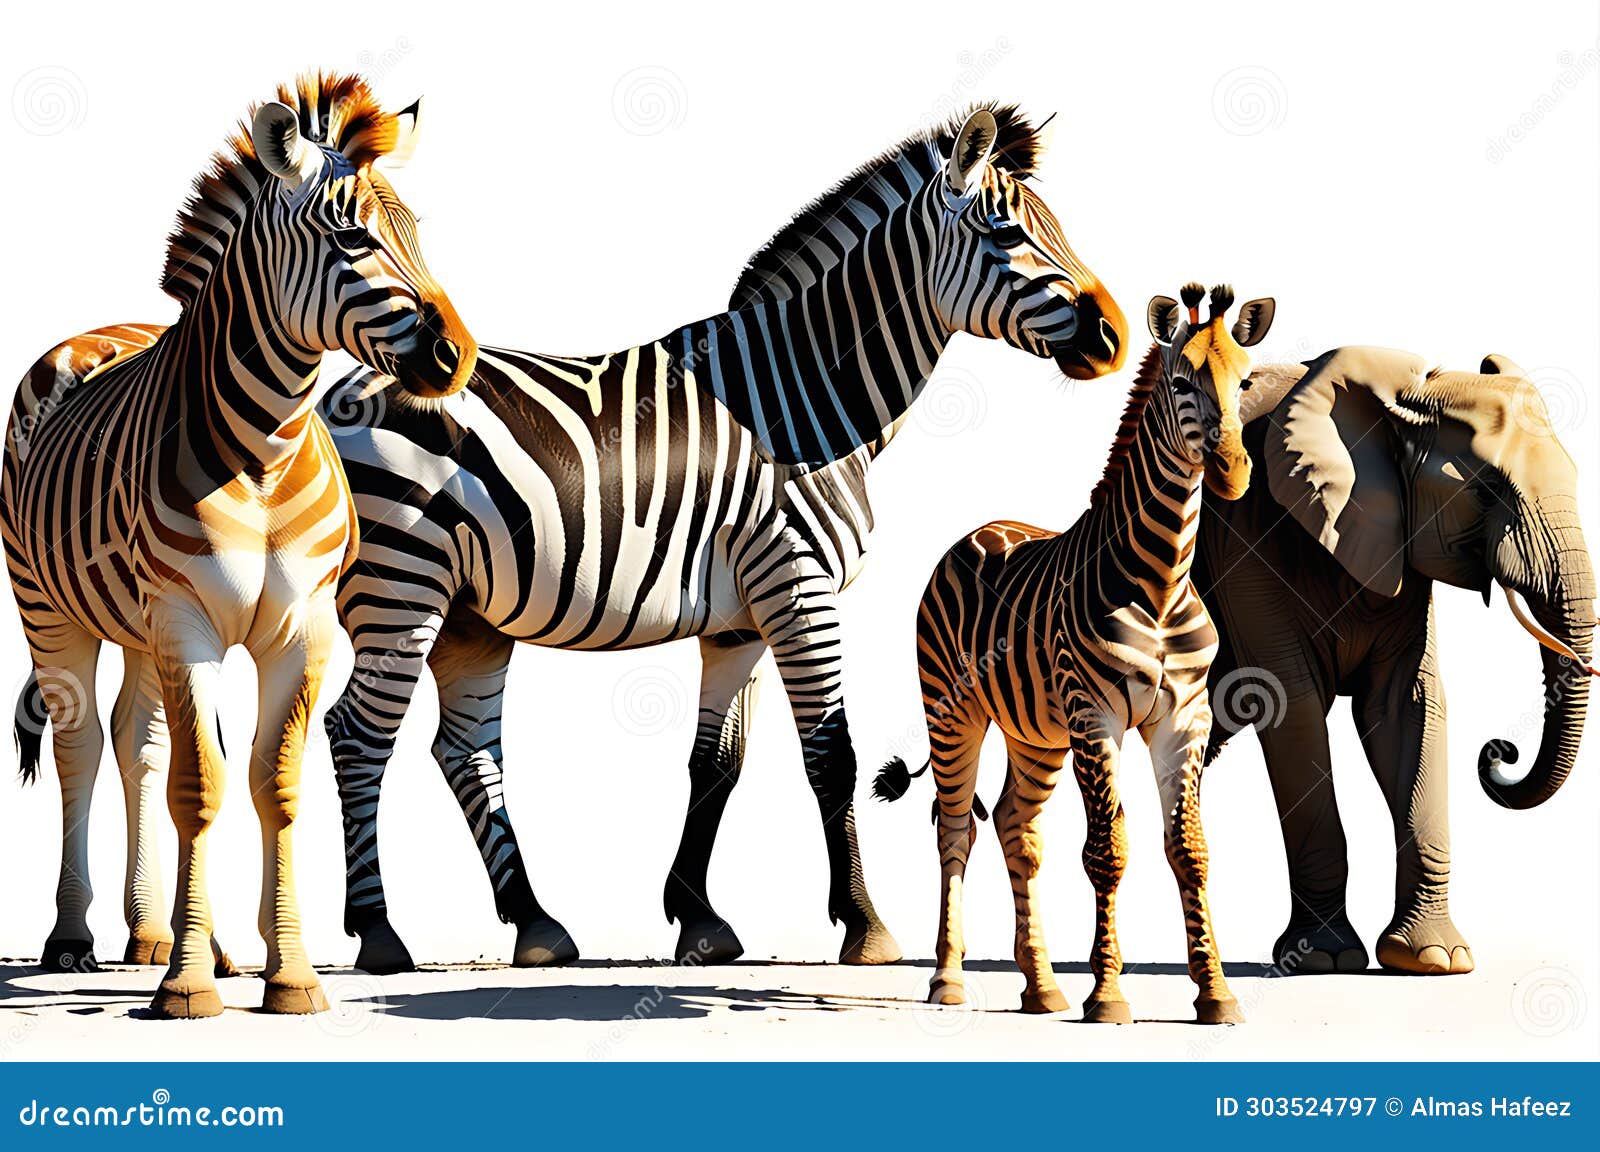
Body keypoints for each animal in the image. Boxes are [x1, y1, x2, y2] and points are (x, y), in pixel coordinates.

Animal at [2, 74, 475, 1016]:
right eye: (353, 235)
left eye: (416, 232)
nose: (457, 356)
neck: (265, 450)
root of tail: (96, 334)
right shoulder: (186, 622)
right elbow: (203, 785)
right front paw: (188, 988)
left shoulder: (302, 630)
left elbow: (270, 782)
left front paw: (282, 973)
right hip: (51, 610)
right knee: (82, 748)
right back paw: (75, 937)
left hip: (138, 625)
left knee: (137, 742)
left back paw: (160, 932)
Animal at [316, 104, 1129, 973]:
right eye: (1008, 231)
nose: (1114, 336)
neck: (806, 398)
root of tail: (338, 394)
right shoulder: (798, 584)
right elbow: (831, 756)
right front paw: (865, 924)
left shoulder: (741, 619)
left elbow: (717, 764)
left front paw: (699, 919)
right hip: (403, 585)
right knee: (358, 737)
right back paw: (378, 931)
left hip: (469, 616)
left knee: (464, 750)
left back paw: (536, 924)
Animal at [872, 284, 1273, 1021]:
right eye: (1182, 382)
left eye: (1246, 381)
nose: (1233, 473)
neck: (1163, 579)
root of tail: (980, 530)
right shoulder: (1097, 716)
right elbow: (1107, 851)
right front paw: (1109, 997)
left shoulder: (1185, 718)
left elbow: (1191, 849)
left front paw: (1215, 993)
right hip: (953, 713)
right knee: (954, 829)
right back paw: (948, 981)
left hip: (1036, 735)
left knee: (1015, 829)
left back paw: (1040, 986)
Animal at [1194, 346, 1595, 975]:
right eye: (1485, 490)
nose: (1499, 751)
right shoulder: (1246, 537)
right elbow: (1290, 704)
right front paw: (1322, 960)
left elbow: (1406, 706)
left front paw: (1433, 959)